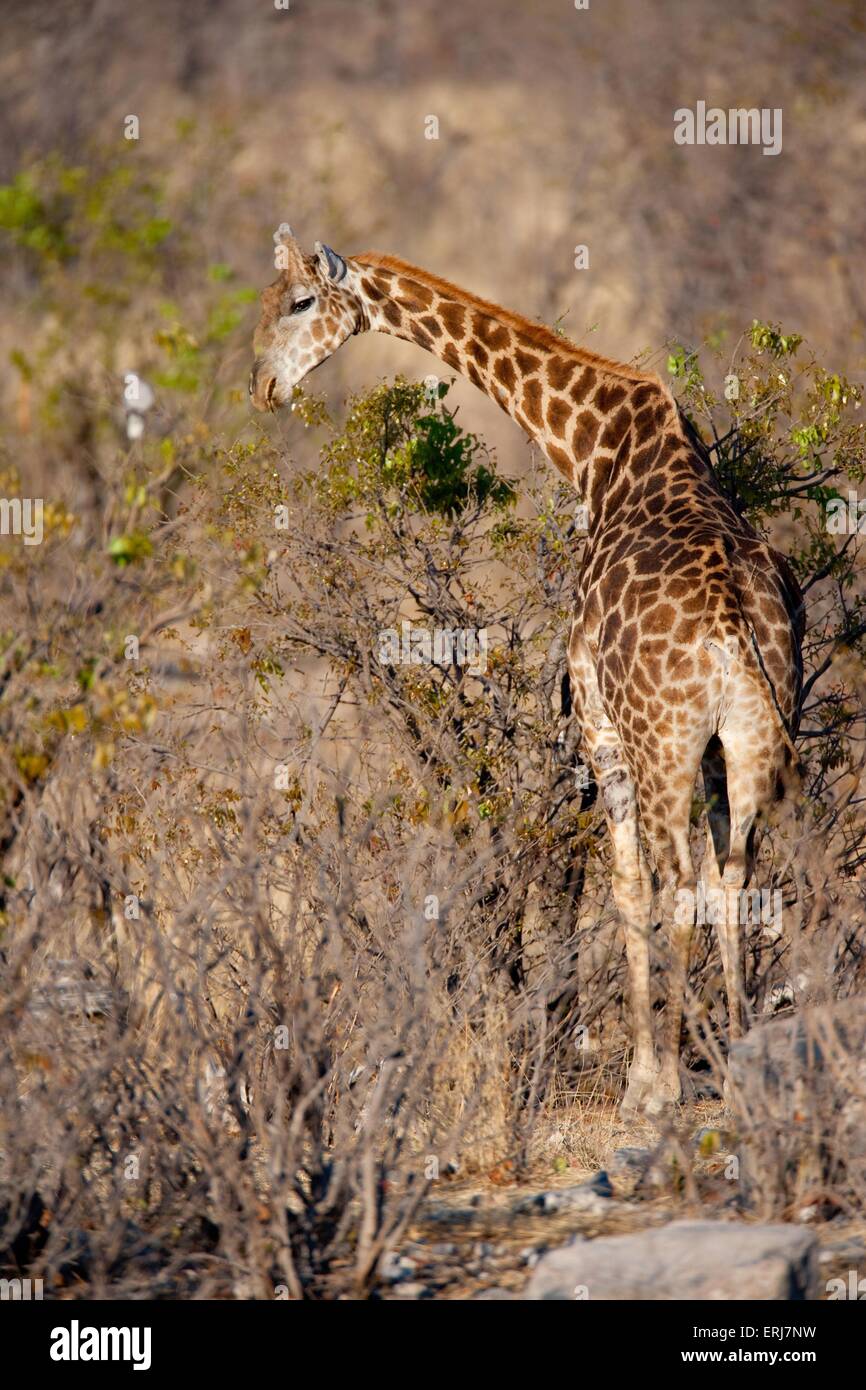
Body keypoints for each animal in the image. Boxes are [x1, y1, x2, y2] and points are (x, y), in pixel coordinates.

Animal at [249, 227, 804, 1115]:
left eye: (301, 303)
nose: (263, 385)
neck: (595, 448)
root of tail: (731, 626)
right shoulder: (712, 748)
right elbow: (712, 885)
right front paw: (710, 1056)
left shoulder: (600, 724)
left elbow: (628, 886)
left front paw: (645, 1078)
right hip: (754, 736)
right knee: (737, 876)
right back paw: (741, 1051)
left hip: (664, 745)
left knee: (678, 879)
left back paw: (665, 1086)